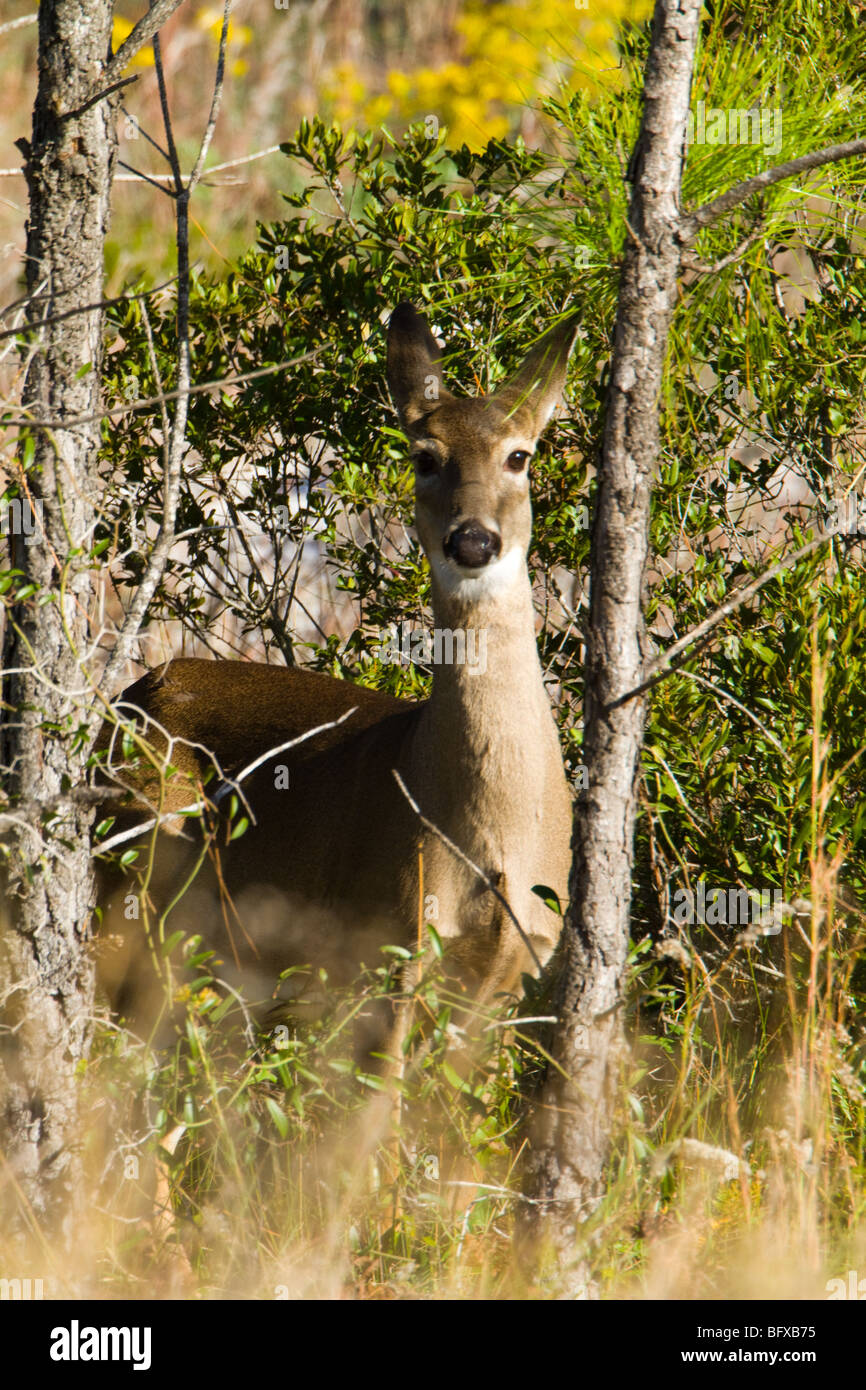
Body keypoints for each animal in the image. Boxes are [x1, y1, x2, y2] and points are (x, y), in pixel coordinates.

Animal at [97, 303, 577, 1055]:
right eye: (424, 455)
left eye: (519, 454)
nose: (473, 540)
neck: (493, 832)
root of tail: (132, 698)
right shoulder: (389, 938)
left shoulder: (518, 967)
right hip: (130, 892)